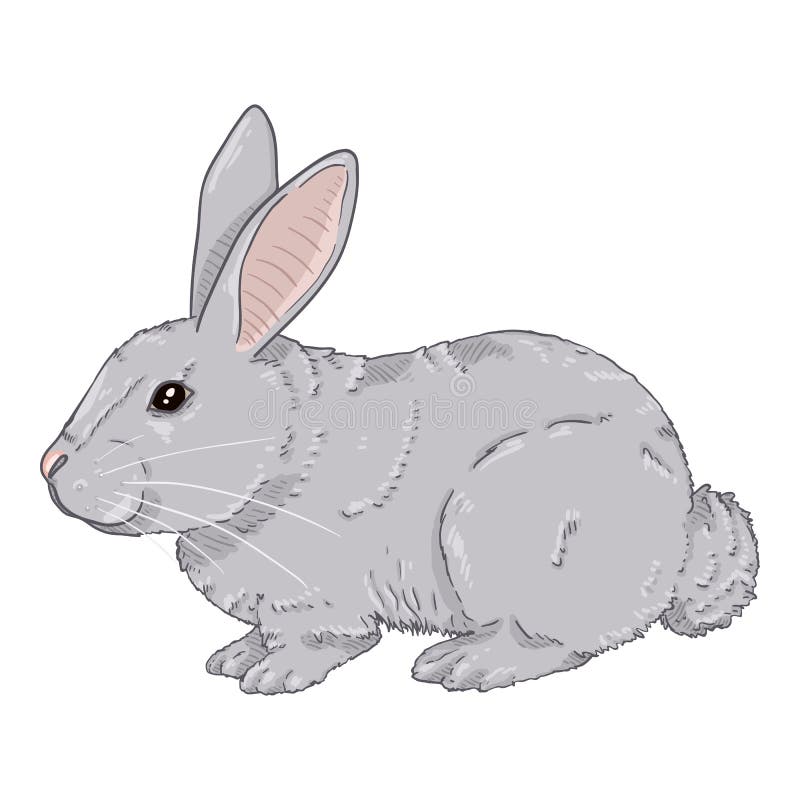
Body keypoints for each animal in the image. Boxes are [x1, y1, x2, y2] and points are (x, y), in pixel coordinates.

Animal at [41, 105, 759, 694]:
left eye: (170, 397)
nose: (52, 470)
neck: (282, 457)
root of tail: (678, 546)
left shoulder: (320, 600)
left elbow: (330, 641)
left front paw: (272, 676)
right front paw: (234, 658)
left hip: (517, 528)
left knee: (561, 641)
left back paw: (466, 664)